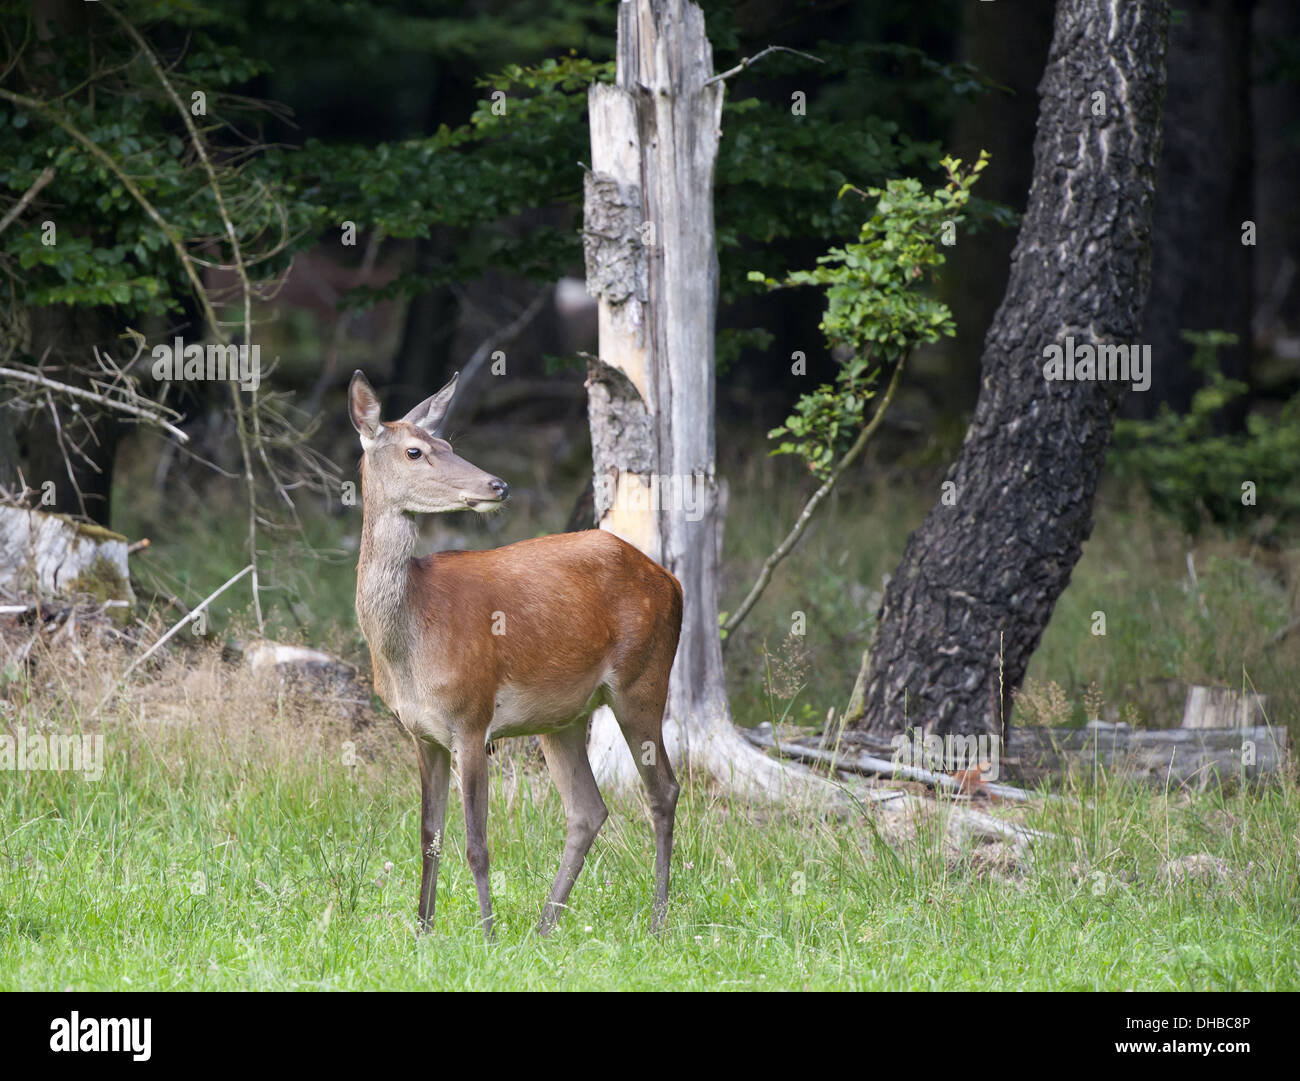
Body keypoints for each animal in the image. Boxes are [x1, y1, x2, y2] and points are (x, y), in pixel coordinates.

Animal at [347, 370, 682, 939]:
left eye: (449, 442)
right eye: (416, 450)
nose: (497, 485)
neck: (407, 648)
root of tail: (673, 582)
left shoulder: (471, 716)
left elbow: (476, 844)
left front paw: (486, 935)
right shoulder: (421, 732)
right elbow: (428, 836)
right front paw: (422, 931)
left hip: (643, 680)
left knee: (663, 791)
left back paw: (657, 921)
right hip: (562, 717)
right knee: (588, 809)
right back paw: (545, 927)